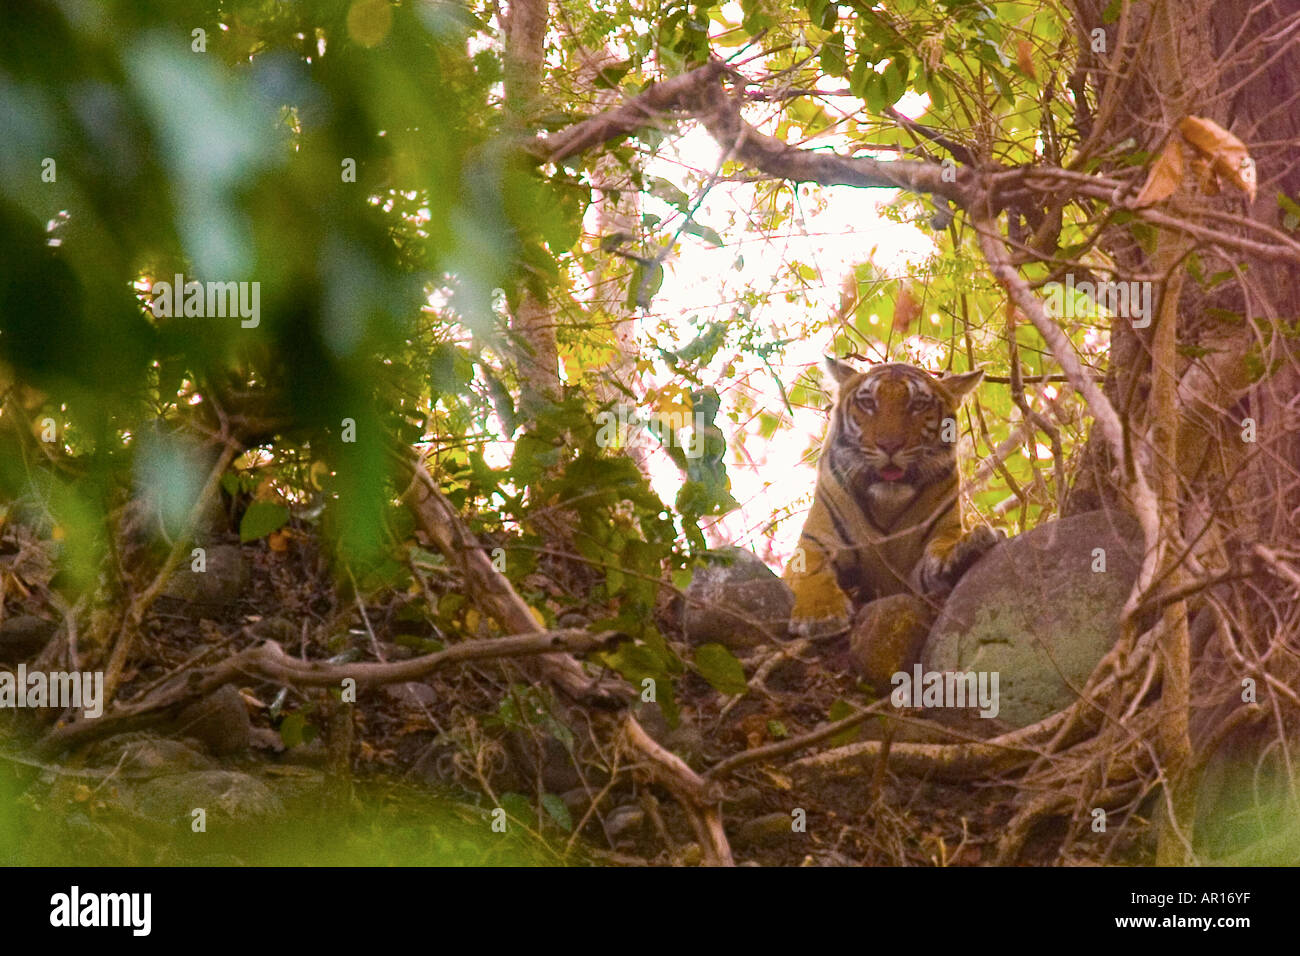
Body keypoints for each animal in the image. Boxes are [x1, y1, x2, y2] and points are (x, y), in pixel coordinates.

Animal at [784, 358, 1002, 637]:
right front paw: (820, 614)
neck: (886, 504)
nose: (889, 445)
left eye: (918, 405)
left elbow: (942, 547)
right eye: (868, 403)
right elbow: (812, 572)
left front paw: (962, 548)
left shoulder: (924, 556)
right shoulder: (815, 543)